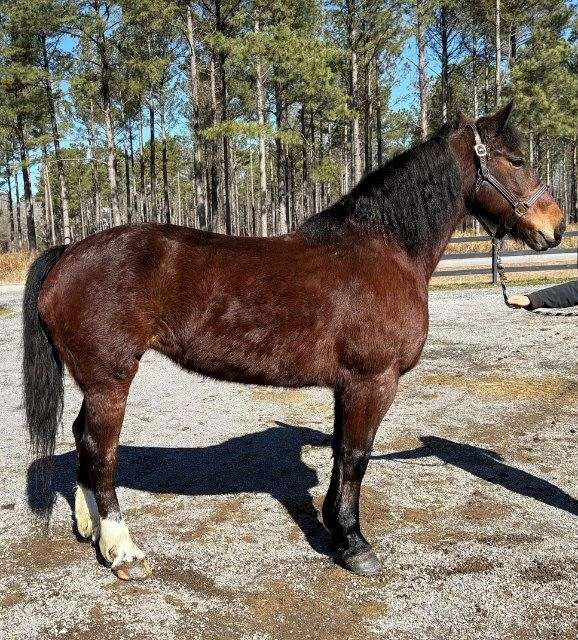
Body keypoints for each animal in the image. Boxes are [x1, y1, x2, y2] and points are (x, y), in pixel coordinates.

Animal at [22, 102, 564, 580]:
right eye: (517, 159)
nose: (555, 226)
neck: (384, 250)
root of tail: (69, 251)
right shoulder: (373, 382)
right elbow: (356, 457)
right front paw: (355, 545)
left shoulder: (348, 387)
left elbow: (343, 452)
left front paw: (336, 530)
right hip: (111, 381)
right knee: (100, 449)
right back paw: (123, 551)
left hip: (97, 383)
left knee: (82, 439)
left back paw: (90, 528)